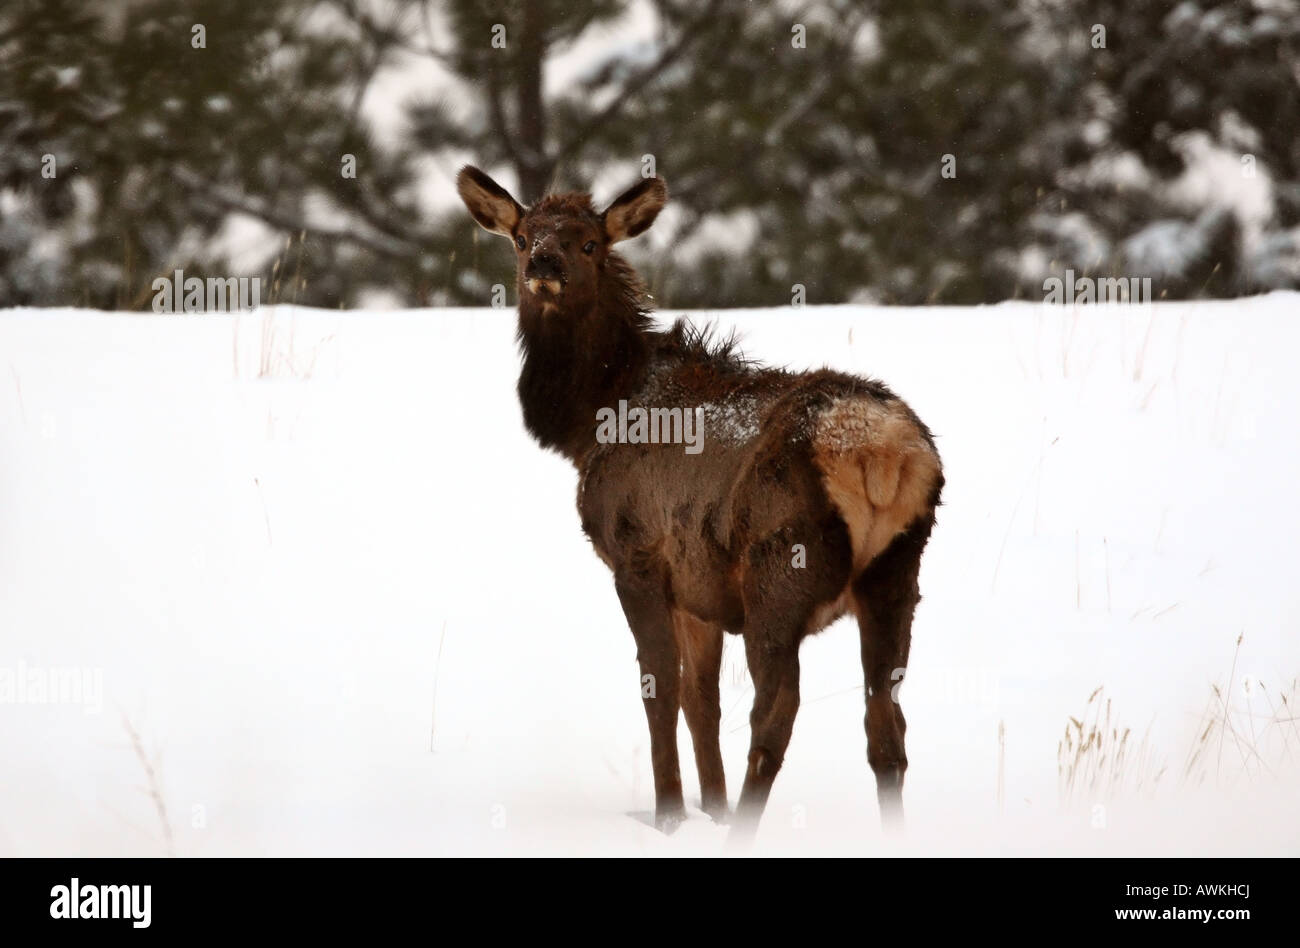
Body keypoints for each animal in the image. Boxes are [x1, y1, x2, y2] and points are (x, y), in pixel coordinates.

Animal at [457, 165, 943, 847]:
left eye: (589, 243)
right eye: (523, 238)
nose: (544, 265)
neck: (589, 420)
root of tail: (880, 455)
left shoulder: (638, 556)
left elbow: (659, 692)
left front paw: (669, 814)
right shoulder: (699, 587)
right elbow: (700, 699)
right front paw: (709, 807)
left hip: (780, 573)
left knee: (775, 715)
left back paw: (744, 830)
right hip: (897, 577)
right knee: (887, 726)